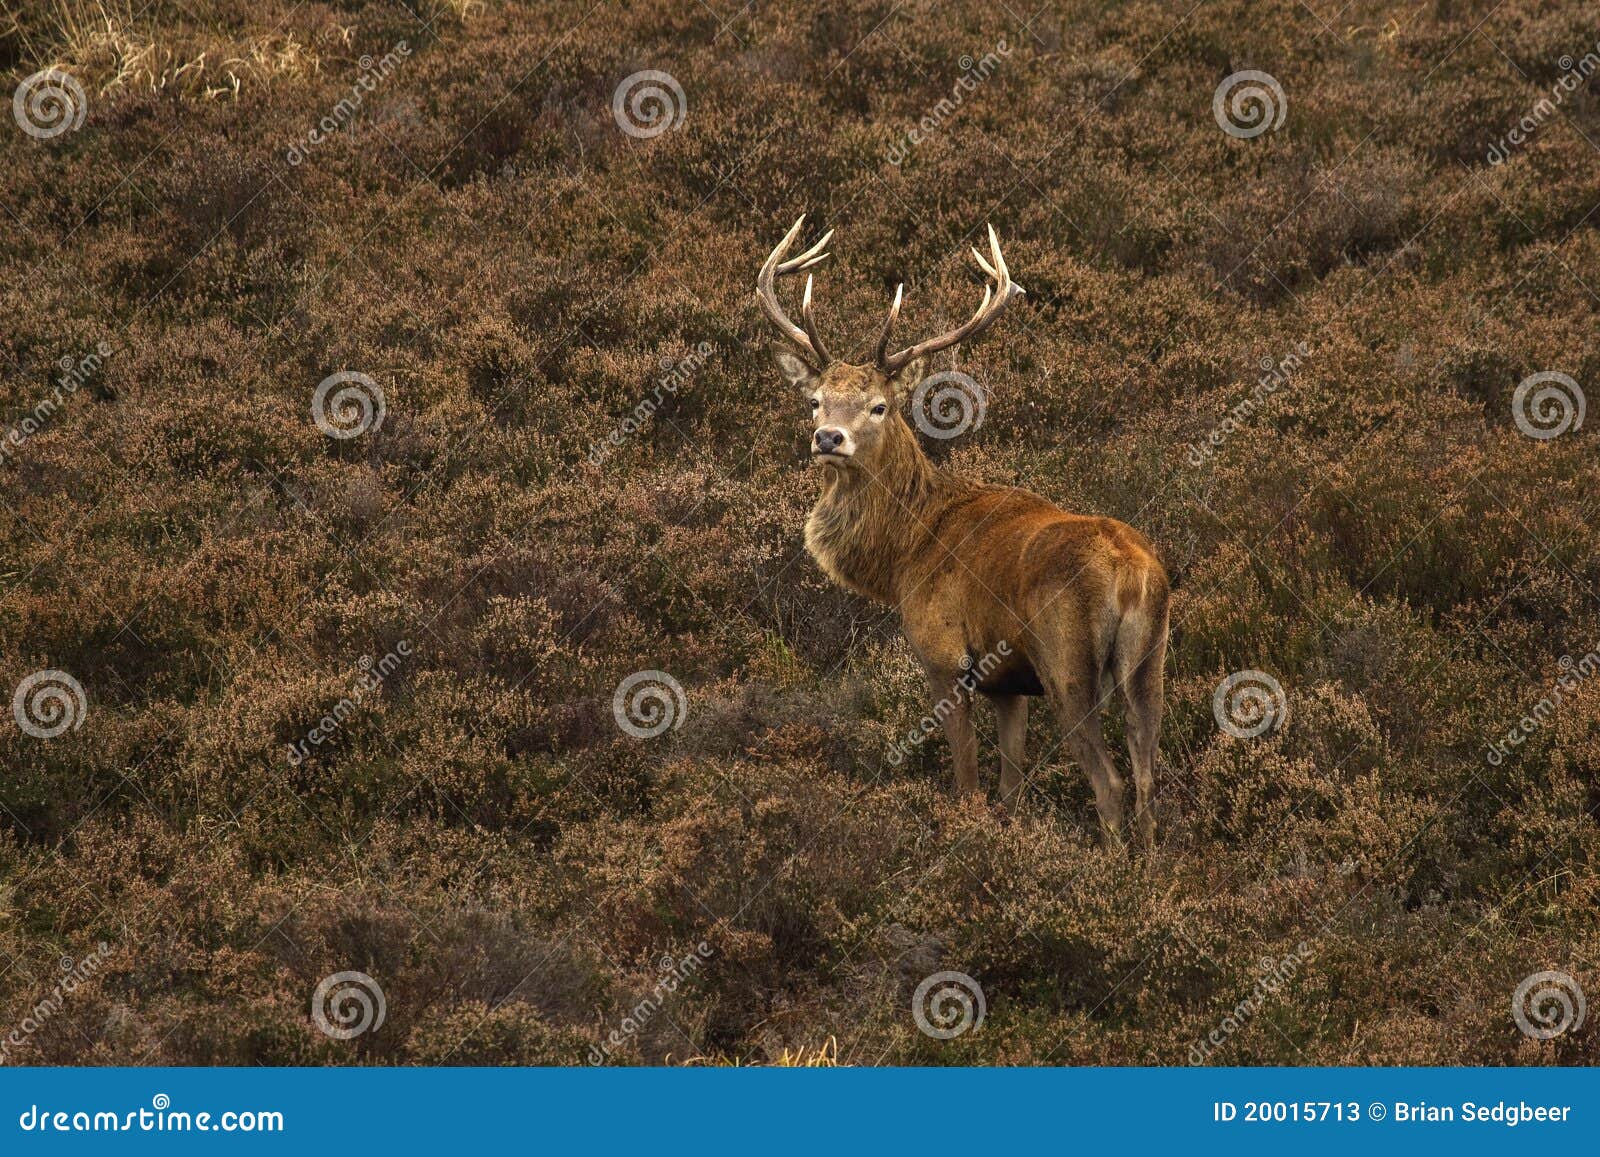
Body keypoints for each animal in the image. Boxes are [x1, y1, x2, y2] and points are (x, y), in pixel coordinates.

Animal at [756, 216, 1171, 848]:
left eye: (879, 406)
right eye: (816, 401)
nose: (828, 438)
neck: (904, 555)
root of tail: (1132, 576)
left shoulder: (944, 655)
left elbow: (969, 781)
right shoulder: (1007, 685)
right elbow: (1010, 786)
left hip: (1067, 663)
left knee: (1112, 783)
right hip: (1150, 664)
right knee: (1148, 779)